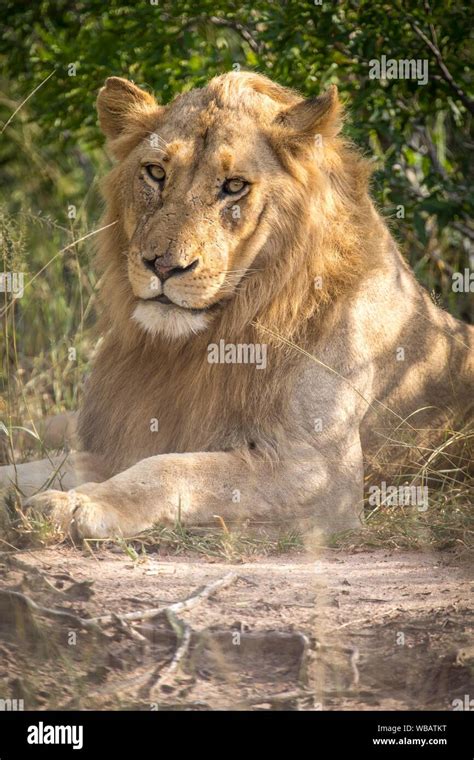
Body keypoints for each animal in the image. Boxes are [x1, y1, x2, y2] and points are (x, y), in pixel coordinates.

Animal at [2, 72, 473, 539]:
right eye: (155, 172)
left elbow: (170, 471)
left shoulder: (320, 472)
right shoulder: (124, 438)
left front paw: (76, 505)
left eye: (234, 186)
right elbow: (42, 467)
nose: (164, 266)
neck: (205, 340)